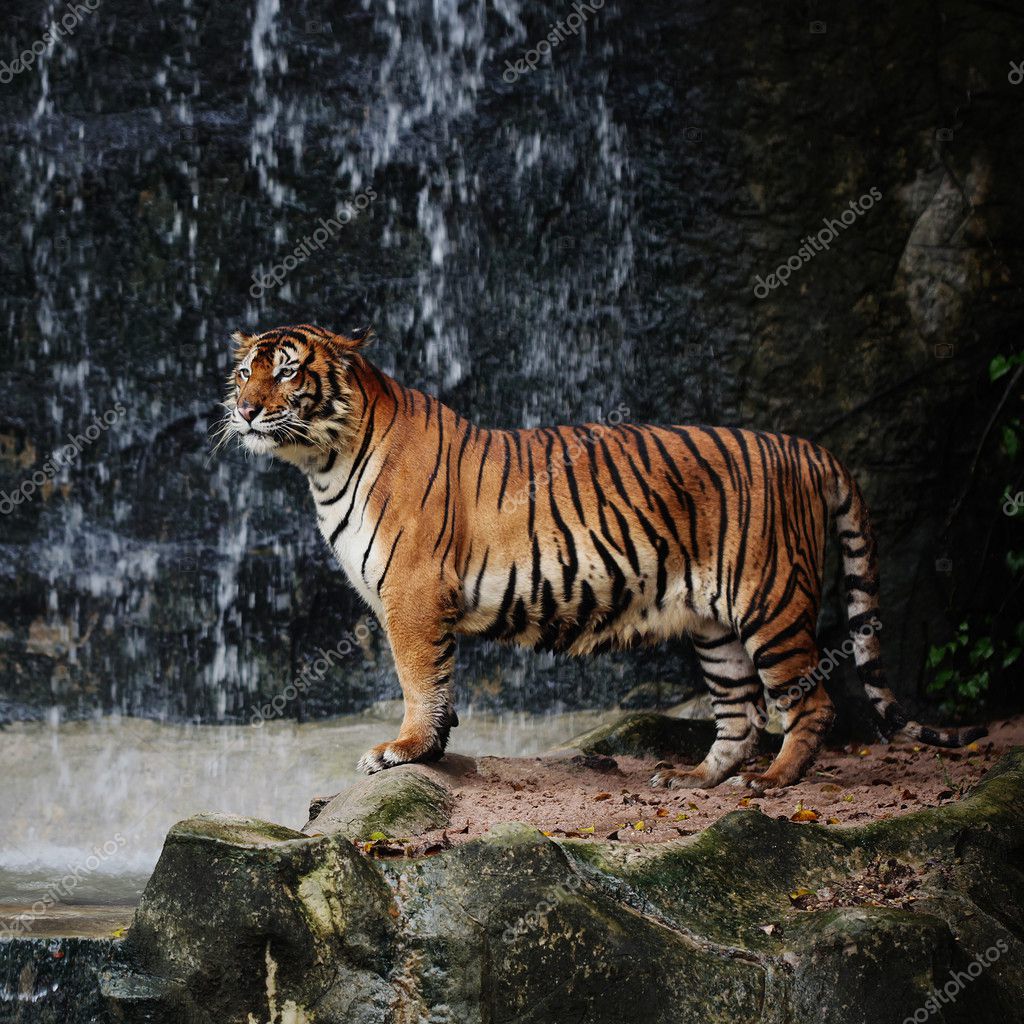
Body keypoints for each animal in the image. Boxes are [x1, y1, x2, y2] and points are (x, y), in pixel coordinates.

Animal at [223, 323, 985, 792]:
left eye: (287, 373)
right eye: (241, 374)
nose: (247, 410)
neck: (322, 463)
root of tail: (803, 446)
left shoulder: (412, 594)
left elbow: (418, 680)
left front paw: (402, 750)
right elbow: (440, 683)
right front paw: (432, 749)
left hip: (771, 604)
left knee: (810, 702)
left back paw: (772, 782)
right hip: (717, 628)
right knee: (740, 714)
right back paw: (695, 779)